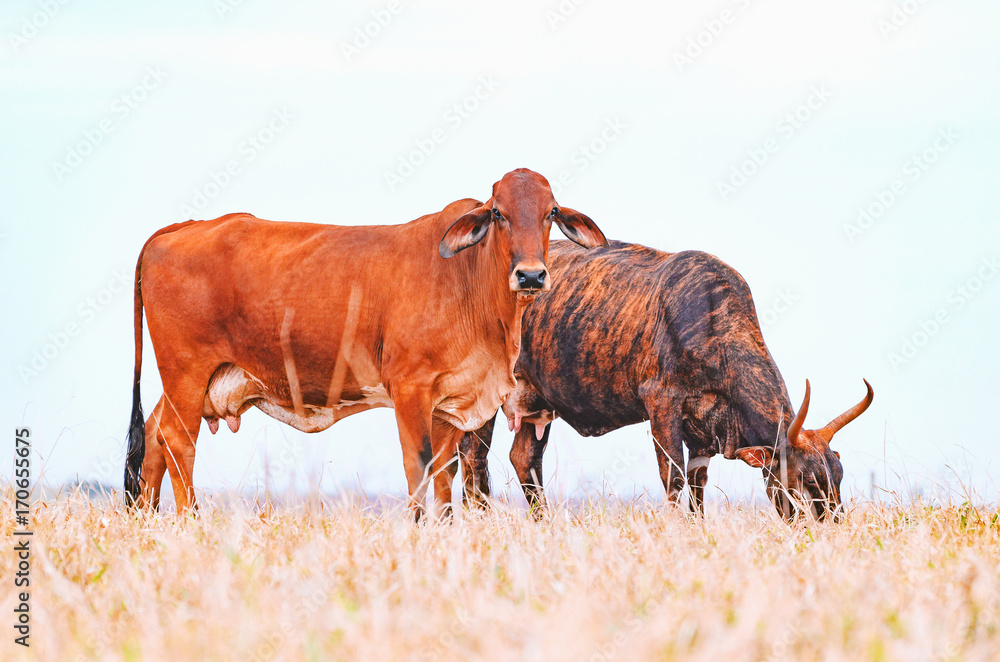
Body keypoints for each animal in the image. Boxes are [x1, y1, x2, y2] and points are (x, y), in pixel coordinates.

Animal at [124, 169, 608, 518]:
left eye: (551, 212)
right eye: (498, 214)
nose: (531, 275)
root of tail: (184, 227)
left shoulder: (452, 403)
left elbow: (445, 475)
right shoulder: (411, 389)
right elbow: (419, 466)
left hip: (193, 384)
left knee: (152, 437)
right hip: (187, 373)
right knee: (177, 441)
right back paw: (190, 523)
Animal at [459, 240, 873, 522]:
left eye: (837, 477)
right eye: (804, 479)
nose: (831, 526)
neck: (710, 324)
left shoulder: (703, 435)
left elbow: (696, 483)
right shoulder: (661, 405)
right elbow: (672, 476)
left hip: (537, 406)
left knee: (524, 458)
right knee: (473, 457)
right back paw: (477, 517)